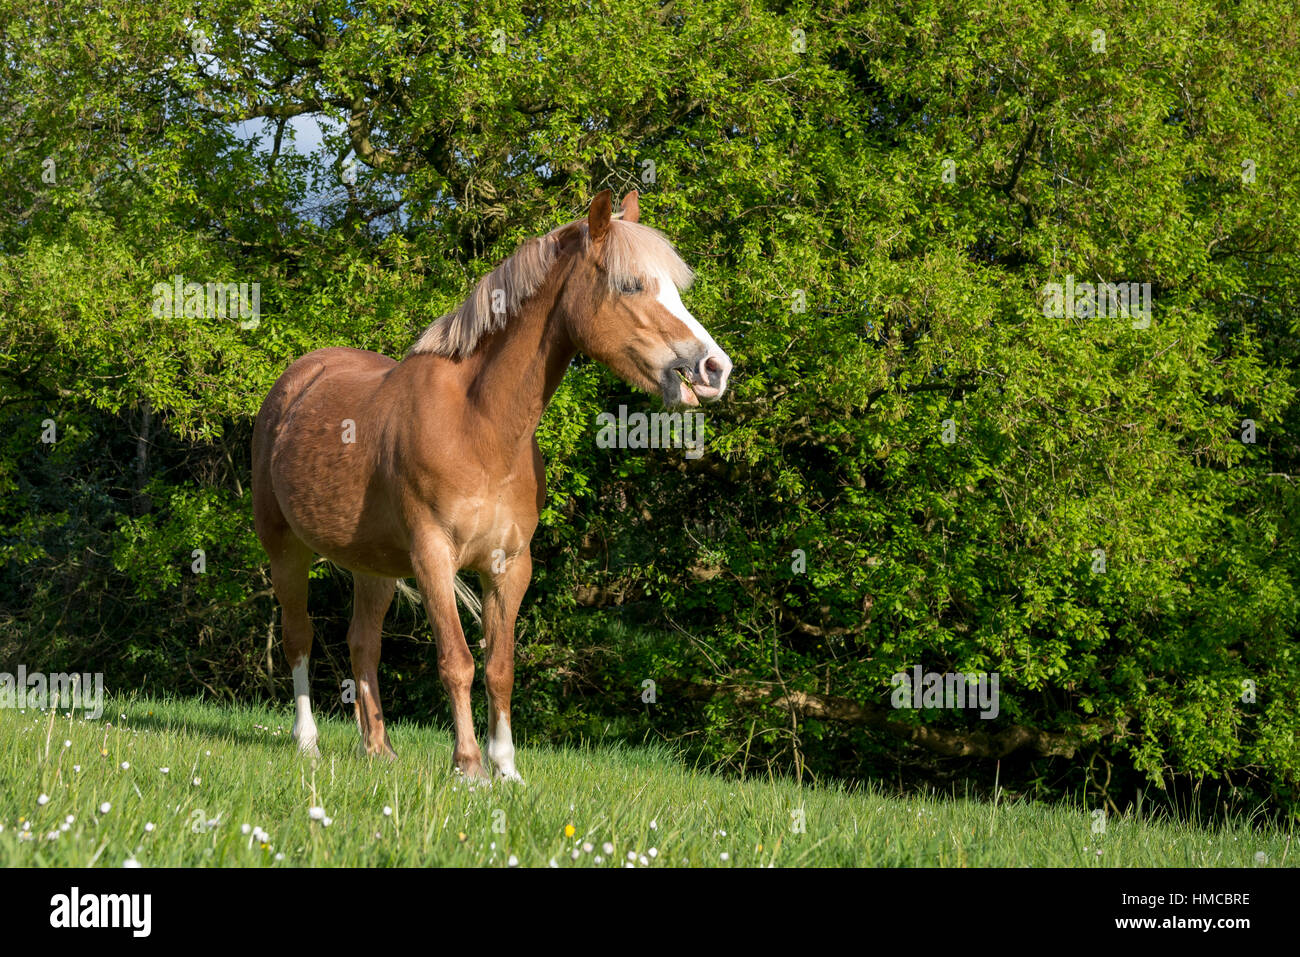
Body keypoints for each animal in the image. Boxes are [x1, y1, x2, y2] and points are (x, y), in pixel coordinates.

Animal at [251, 190, 732, 781]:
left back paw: (379, 750)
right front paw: (469, 766)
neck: (479, 426)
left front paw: (506, 767)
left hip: (374, 567)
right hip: (285, 551)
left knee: (363, 645)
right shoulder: (433, 557)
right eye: (630, 285)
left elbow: (500, 665)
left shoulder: (510, 564)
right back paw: (308, 743)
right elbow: (457, 661)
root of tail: (293, 384)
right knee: (299, 638)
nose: (715, 369)